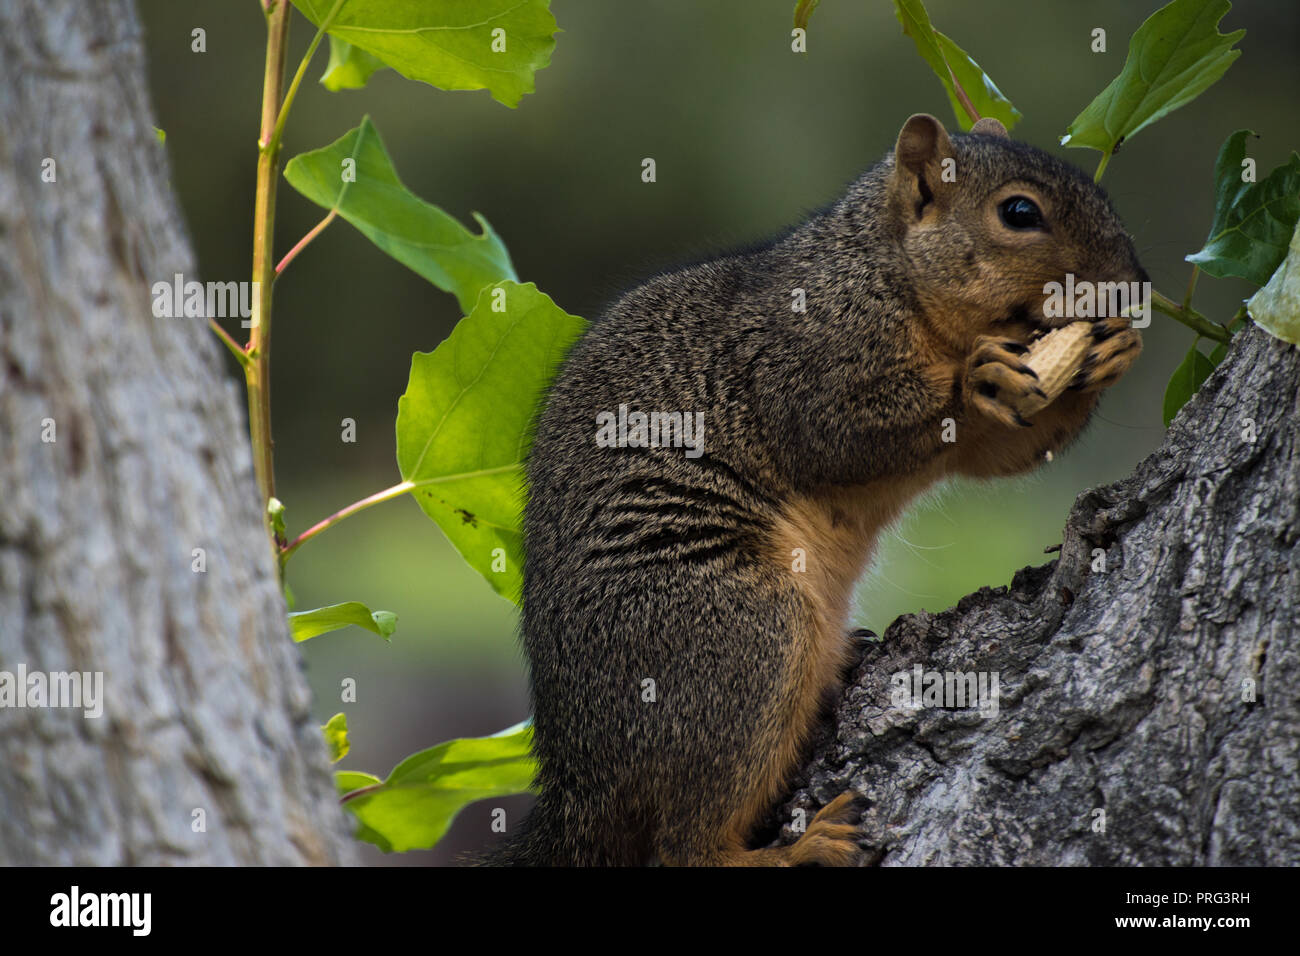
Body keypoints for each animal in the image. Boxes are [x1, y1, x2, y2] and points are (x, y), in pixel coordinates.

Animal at [483, 114, 1145, 866]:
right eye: (1019, 213)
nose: (1134, 286)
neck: (886, 273)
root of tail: (577, 788)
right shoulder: (801, 354)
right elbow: (833, 427)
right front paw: (979, 378)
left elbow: (1005, 451)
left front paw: (1112, 353)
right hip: (735, 634)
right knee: (686, 848)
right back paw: (797, 849)